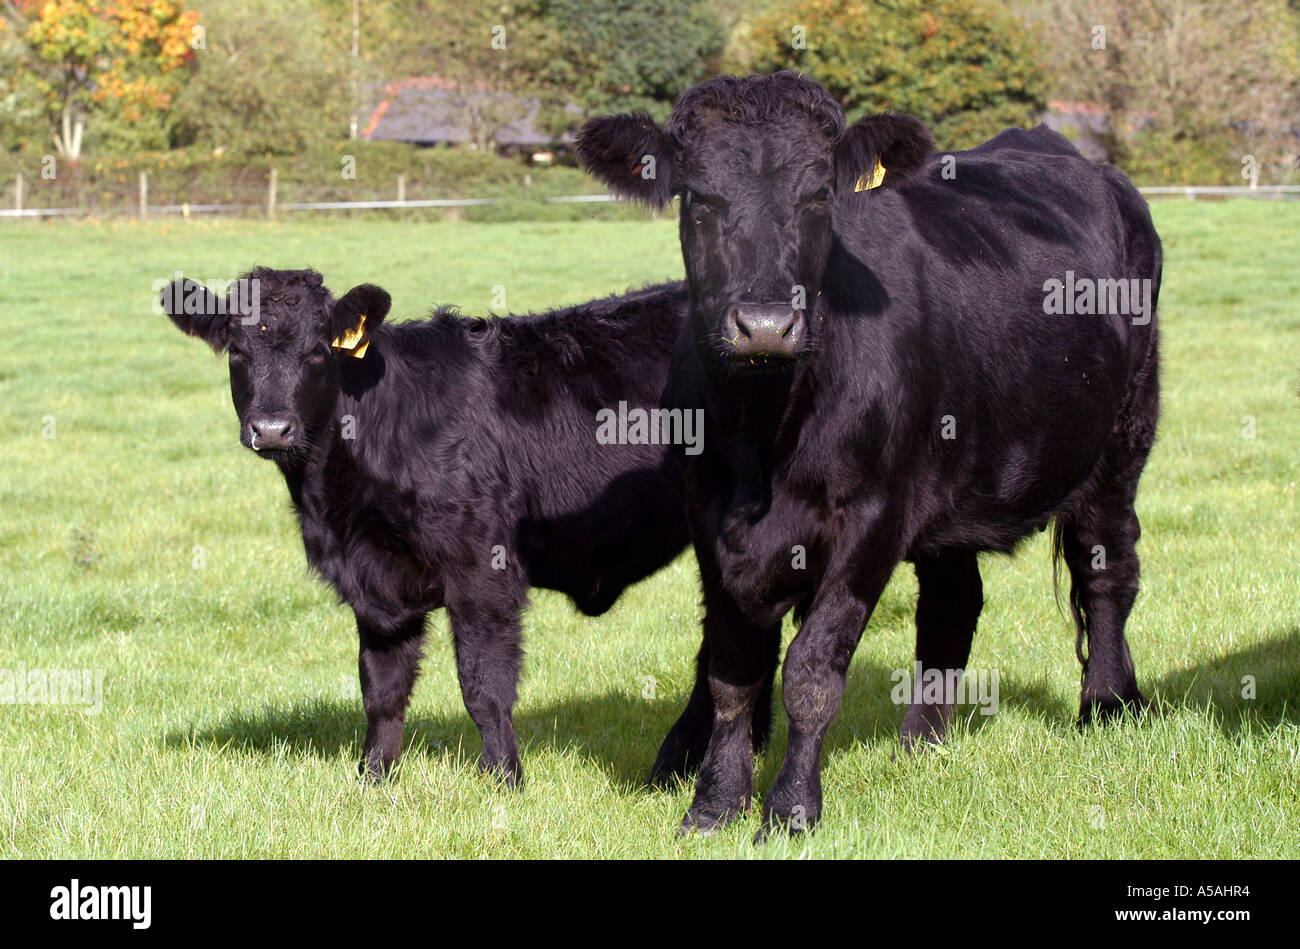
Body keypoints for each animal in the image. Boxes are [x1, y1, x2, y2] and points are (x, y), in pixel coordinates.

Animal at [158, 269, 767, 786]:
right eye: (238, 352)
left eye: (316, 352)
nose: (271, 428)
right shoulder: (373, 582)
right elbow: (381, 688)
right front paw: (374, 779)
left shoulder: (481, 569)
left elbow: (483, 686)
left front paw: (504, 780)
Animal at [577, 71, 1161, 836]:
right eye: (698, 196)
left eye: (820, 196)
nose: (766, 324)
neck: (763, 433)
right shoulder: (710, 524)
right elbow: (732, 671)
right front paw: (715, 804)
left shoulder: (872, 518)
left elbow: (810, 672)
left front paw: (791, 809)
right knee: (952, 603)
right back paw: (921, 743)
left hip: (1122, 439)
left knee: (1106, 568)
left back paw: (1108, 706)